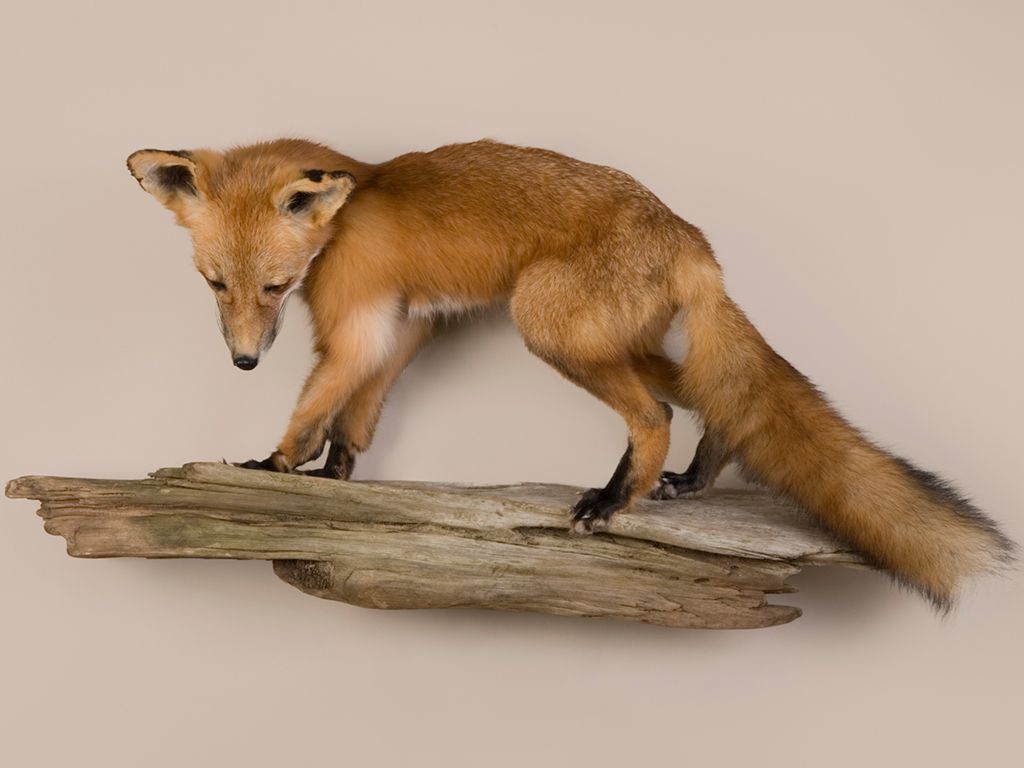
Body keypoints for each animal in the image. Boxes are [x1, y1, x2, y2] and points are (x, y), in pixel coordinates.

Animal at [127, 137, 1014, 611]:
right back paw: (695, 474)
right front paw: (333, 474)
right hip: (617, 338)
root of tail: (691, 237)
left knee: (656, 413)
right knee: (714, 400)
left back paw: (616, 500)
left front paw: (274, 463)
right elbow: (357, 417)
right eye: (215, 284)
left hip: (549, 326)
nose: (243, 360)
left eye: (274, 288)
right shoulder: (402, 328)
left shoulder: (357, 325)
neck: (350, 209)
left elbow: (315, 400)